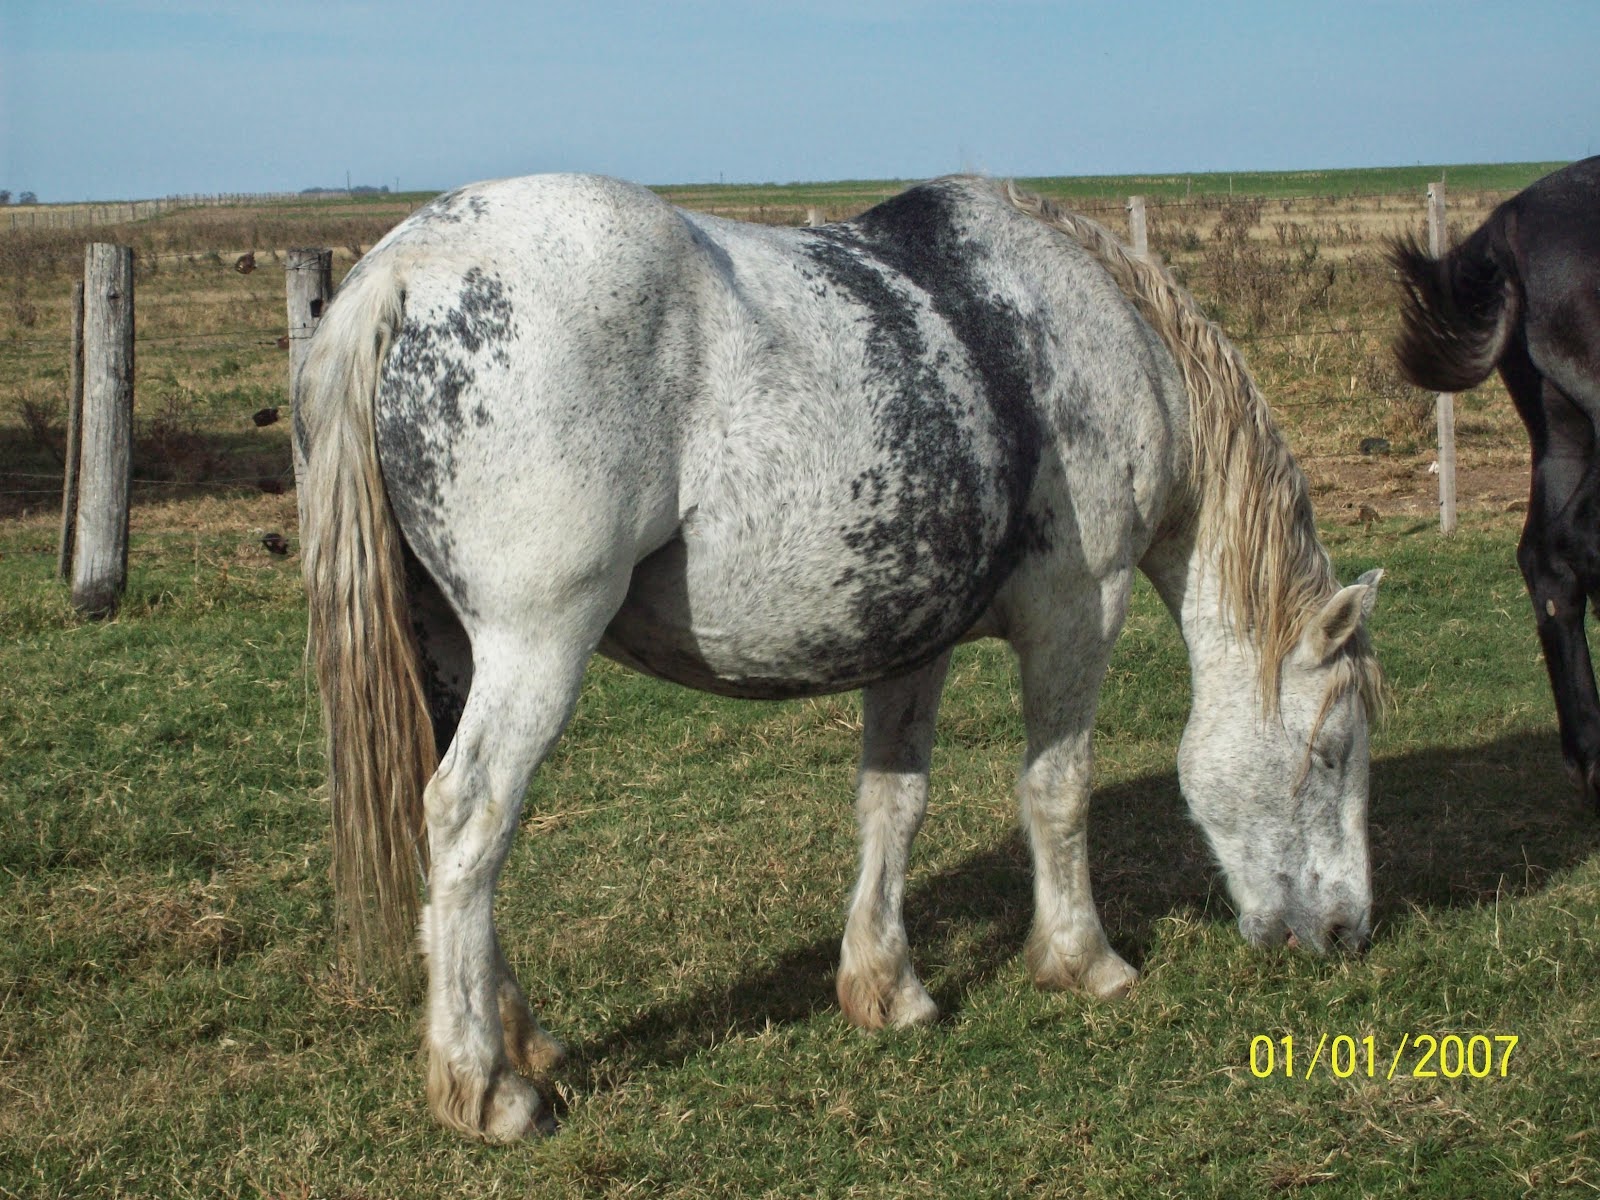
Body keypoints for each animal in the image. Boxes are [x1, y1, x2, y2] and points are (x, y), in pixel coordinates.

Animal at [298, 174, 1385, 1142]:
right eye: (1331, 751)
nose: (1347, 933)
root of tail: (407, 269)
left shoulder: (913, 634)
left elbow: (893, 802)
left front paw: (886, 988)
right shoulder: (1081, 610)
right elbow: (1058, 789)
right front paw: (1085, 962)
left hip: (449, 653)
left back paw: (522, 1039)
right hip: (536, 647)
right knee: (468, 819)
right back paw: (489, 1089)